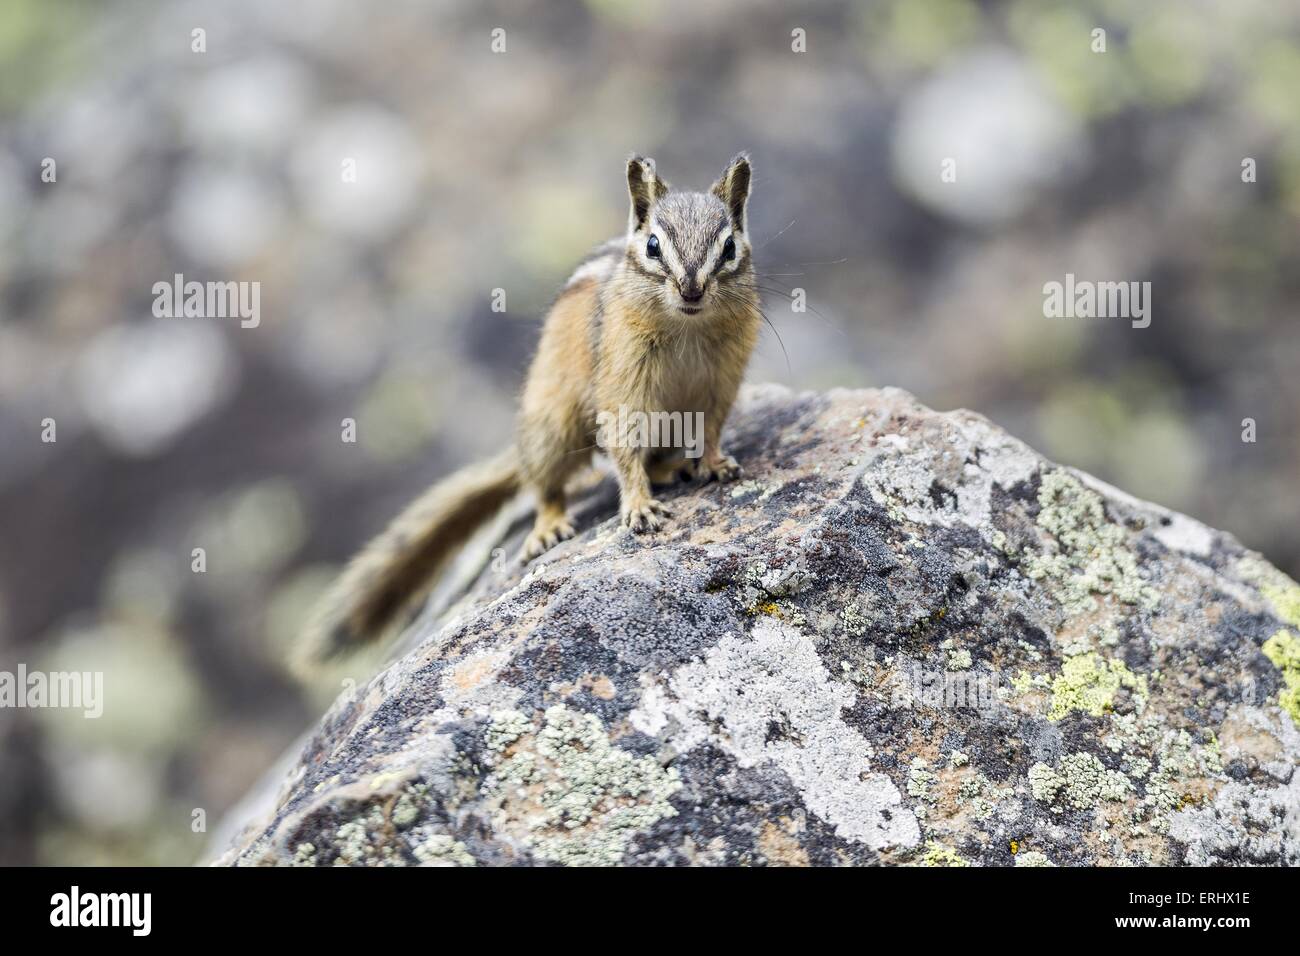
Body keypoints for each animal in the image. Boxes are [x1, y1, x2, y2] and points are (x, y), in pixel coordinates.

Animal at [298, 153, 761, 663]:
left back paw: (673, 468)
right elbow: (622, 447)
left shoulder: (722, 382)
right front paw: (639, 506)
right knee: (547, 485)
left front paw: (716, 463)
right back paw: (549, 526)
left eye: (729, 247)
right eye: (653, 246)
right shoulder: (623, 384)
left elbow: (713, 427)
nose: (691, 290)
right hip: (550, 428)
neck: (687, 328)